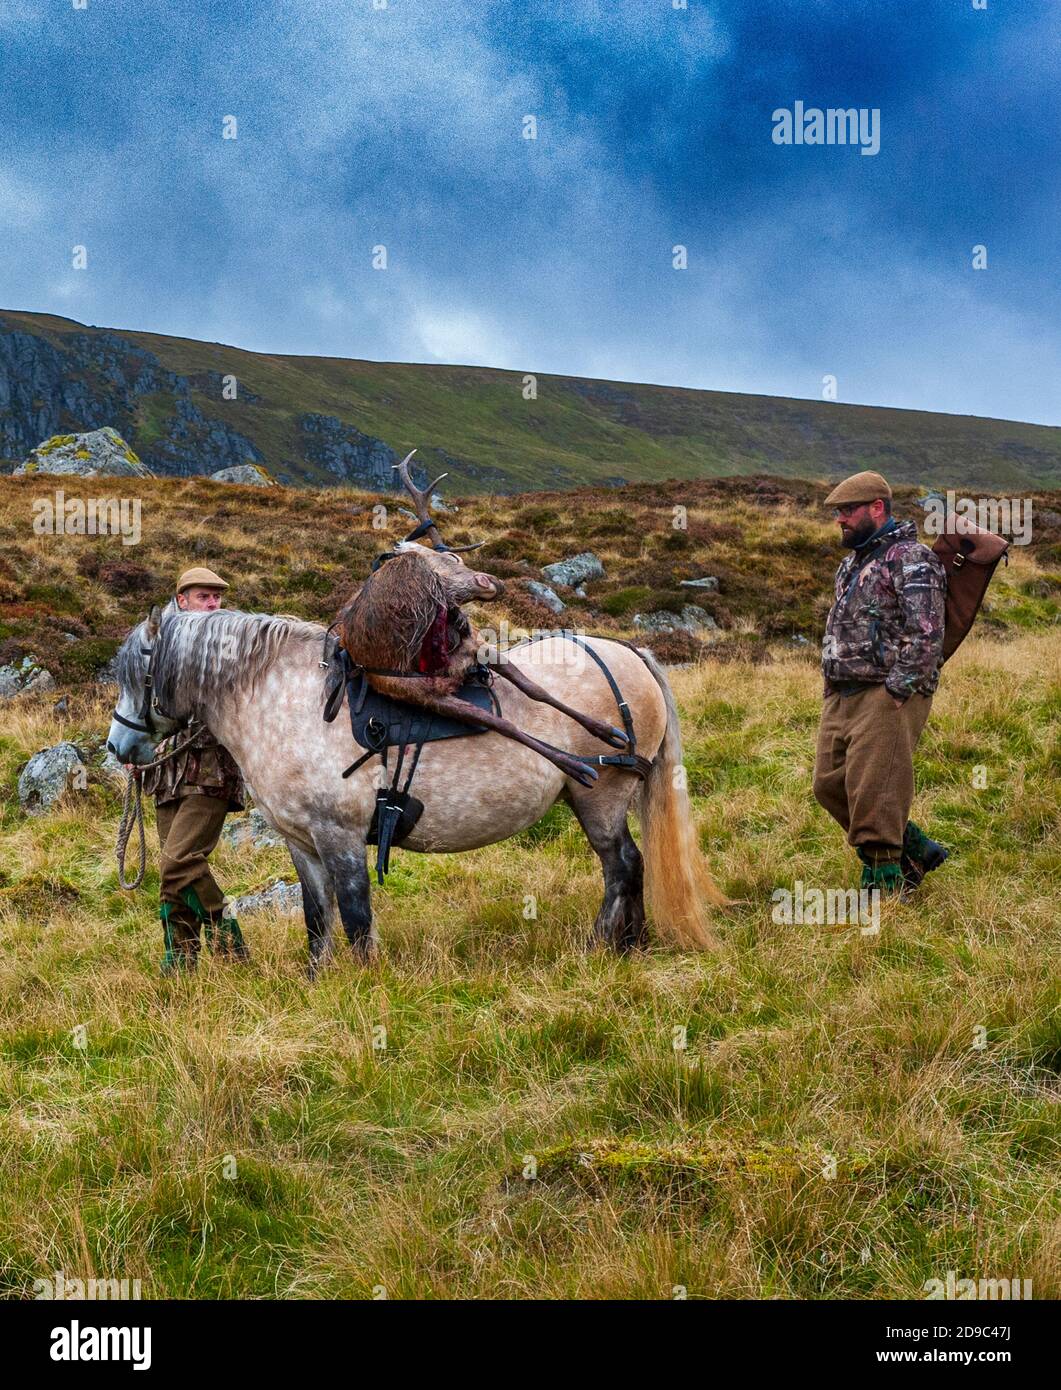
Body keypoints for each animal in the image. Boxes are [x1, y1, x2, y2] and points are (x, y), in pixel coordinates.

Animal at [106, 606, 727, 974]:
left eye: (139, 672)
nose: (118, 747)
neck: (283, 697)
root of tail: (629, 654)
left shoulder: (339, 835)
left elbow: (355, 915)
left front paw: (364, 983)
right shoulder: (302, 842)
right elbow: (316, 917)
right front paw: (316, 981)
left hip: (600, 796)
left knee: (621, 864)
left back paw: (602, 946)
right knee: (631, 864)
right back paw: (632, 946)